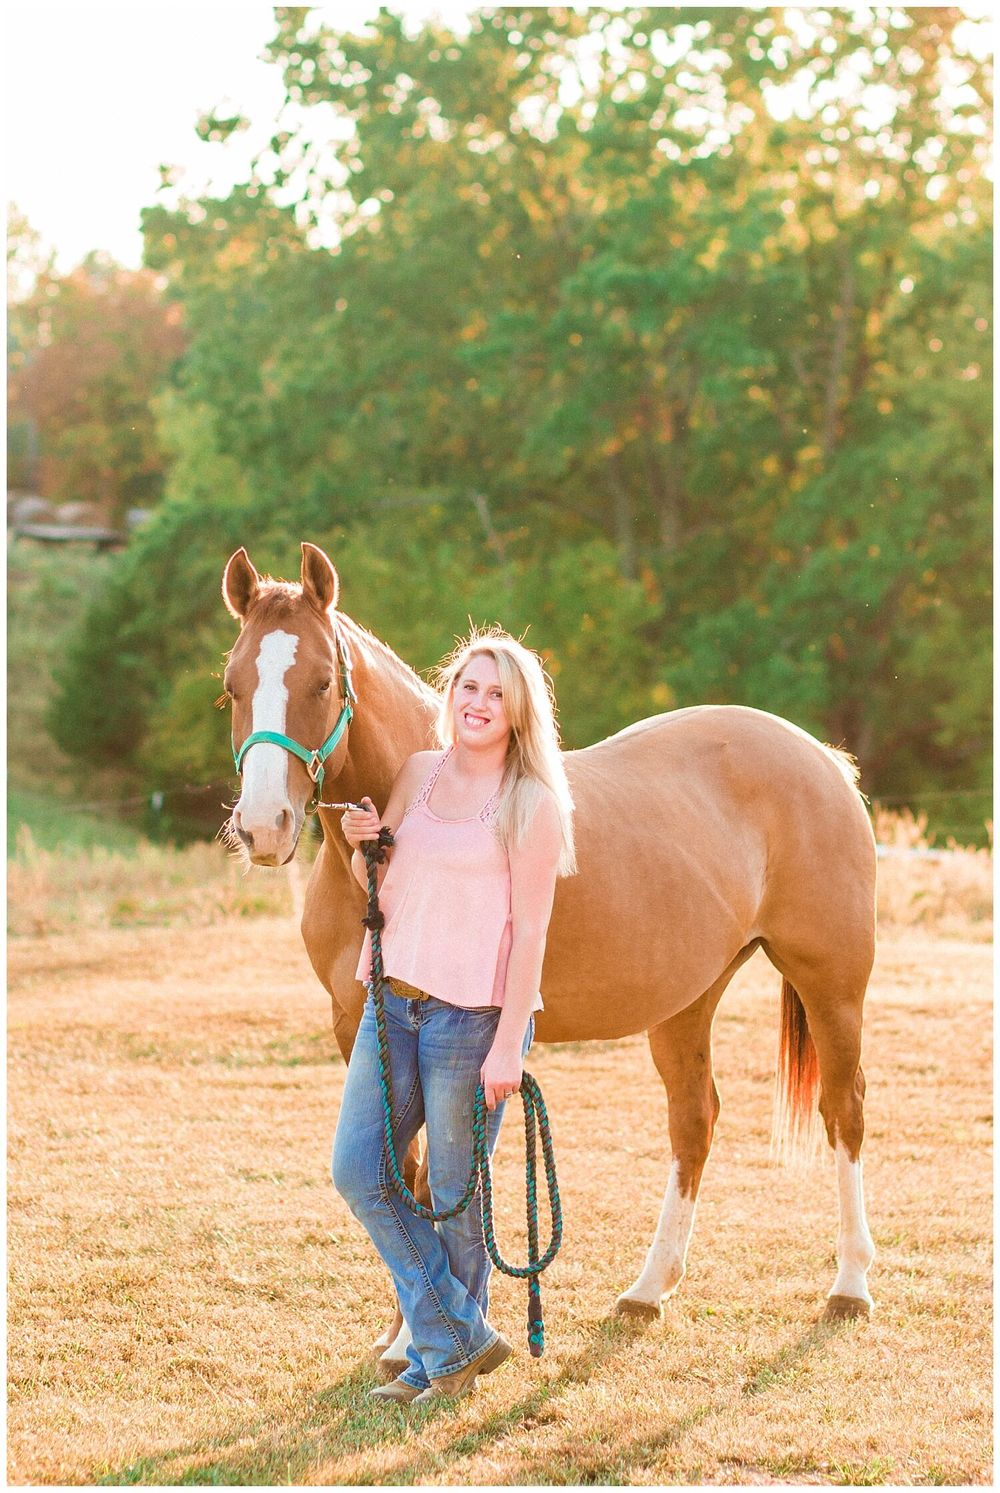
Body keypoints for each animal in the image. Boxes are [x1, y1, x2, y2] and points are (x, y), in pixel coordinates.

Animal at [221, 541, 876, 1369]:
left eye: (320, 681)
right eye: (233, 685)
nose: (263, 826)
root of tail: (823, 758)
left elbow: (431, 1179)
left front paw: (422, 1340)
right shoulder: (362, 1026)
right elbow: (398, 1170)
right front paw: (405, 1334)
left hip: (831, 985)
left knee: (843, 1111)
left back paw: (850, 1284)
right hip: (687, 1001)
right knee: (694, 1120)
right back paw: (648, 1289)